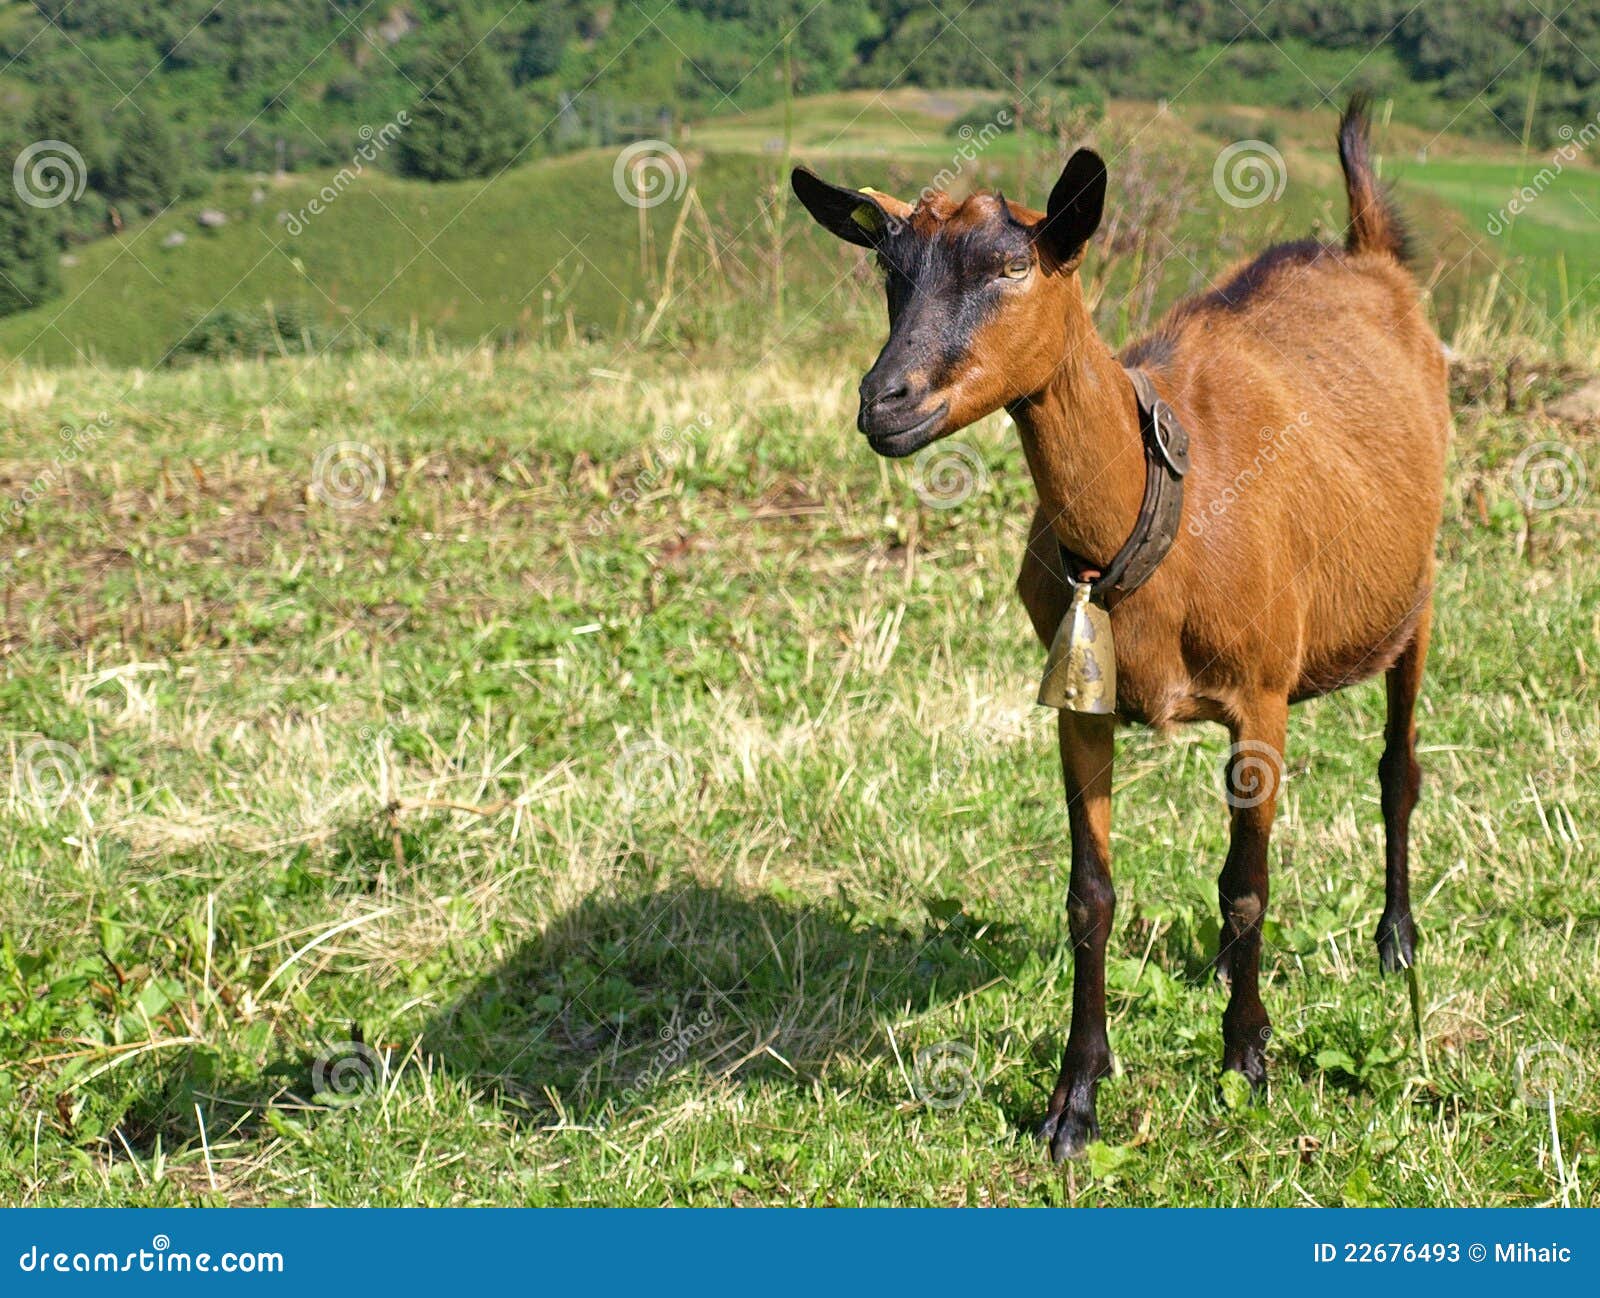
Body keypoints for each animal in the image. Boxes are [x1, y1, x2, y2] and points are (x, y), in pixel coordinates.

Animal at [792, 99, 1449, 1159]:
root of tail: (1365, 252)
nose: (884, 403)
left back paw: (1395, 940)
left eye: (1011, 266)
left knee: (1399, 764)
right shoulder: (1080, 705)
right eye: (891, 272)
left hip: (1418, 593)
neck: (1156, 511)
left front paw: (1247, 1060)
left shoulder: (1263, 698)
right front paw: (1076, 1098)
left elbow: (1248, 882)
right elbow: (1090, 897)